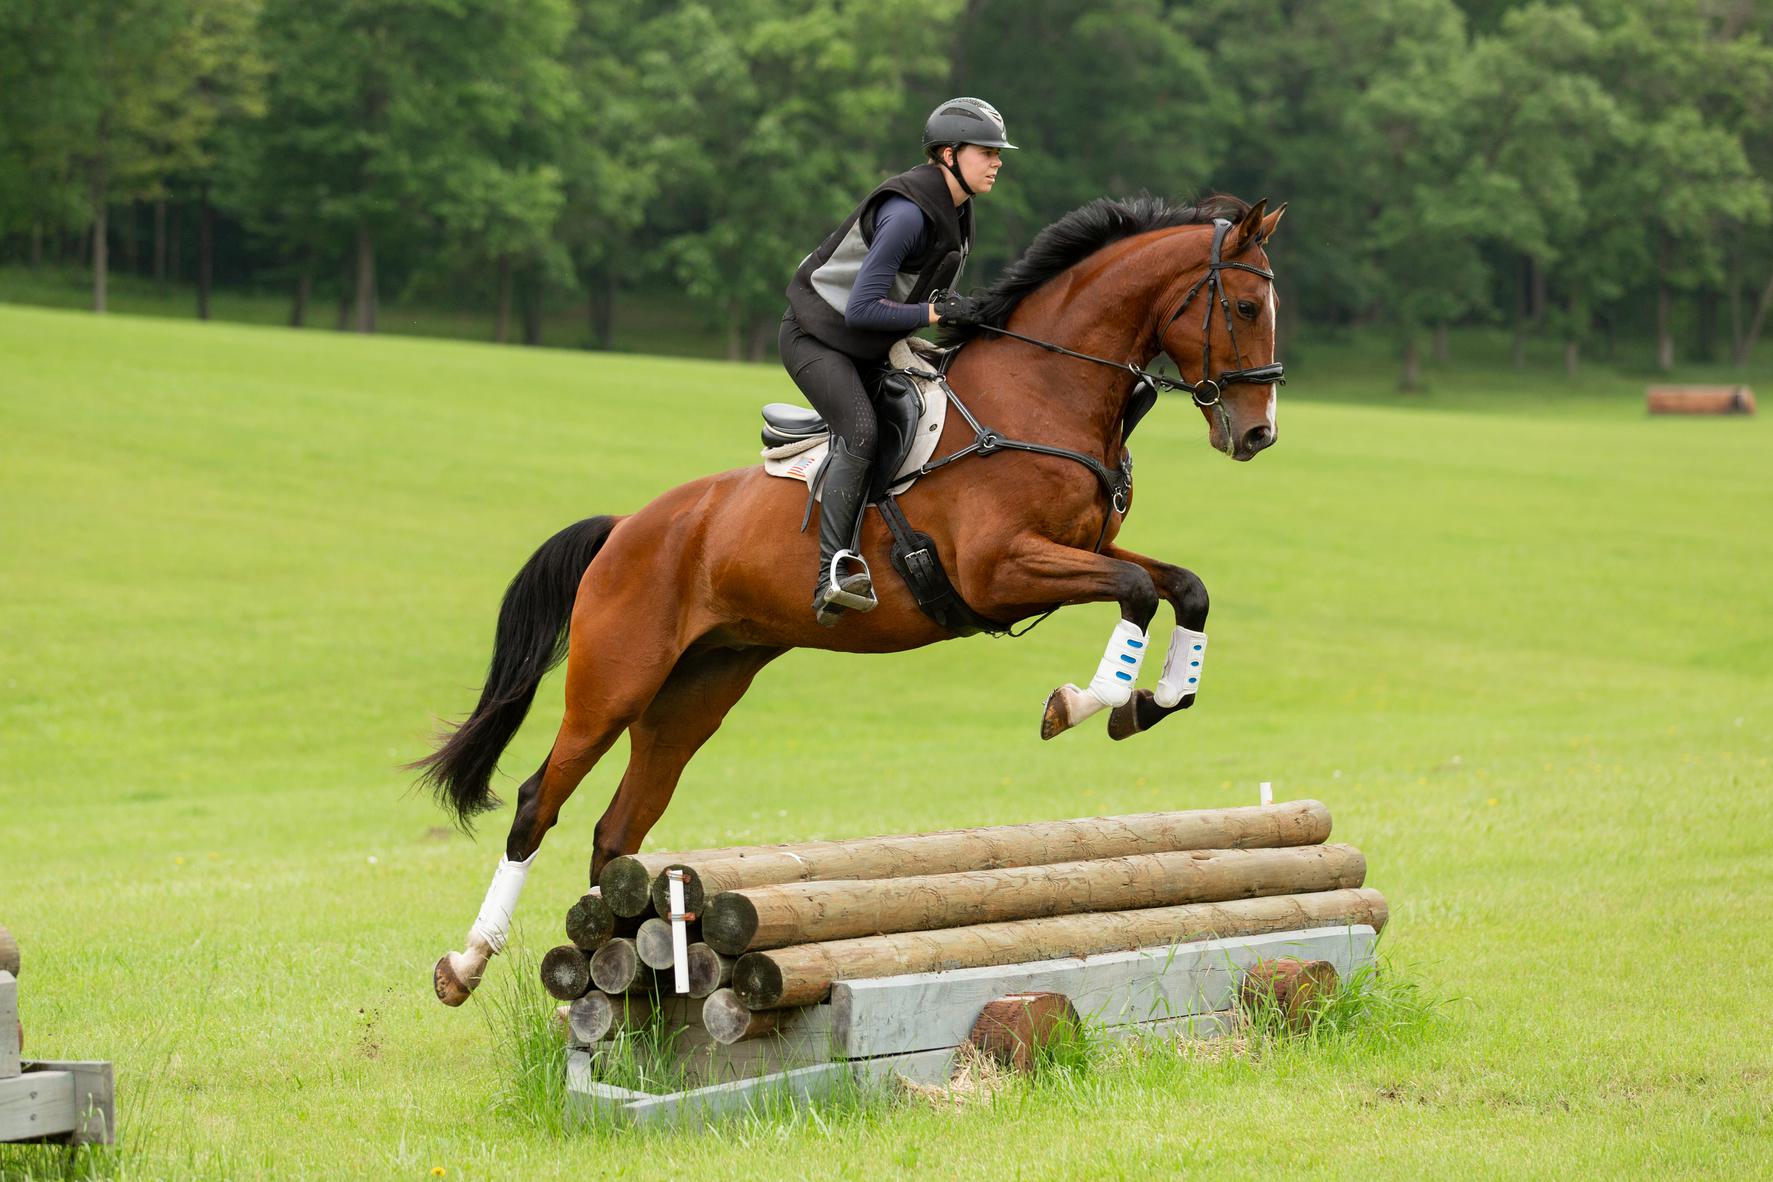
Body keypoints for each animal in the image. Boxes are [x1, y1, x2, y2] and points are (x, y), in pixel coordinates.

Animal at [417, 193, 1287, 1005]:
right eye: (1246, 307)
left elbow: (1185, 588)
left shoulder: (1084, 549)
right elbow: (1138, 592)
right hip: (615, 680)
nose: (1256, 436)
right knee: (538, 803)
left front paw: (1155, 700)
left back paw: (636, 970)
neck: (1041, 392)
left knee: (618, 827)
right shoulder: (1000, 570)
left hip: (696, 693)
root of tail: (626, 526)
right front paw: (1081, 702)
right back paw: (466, 964)